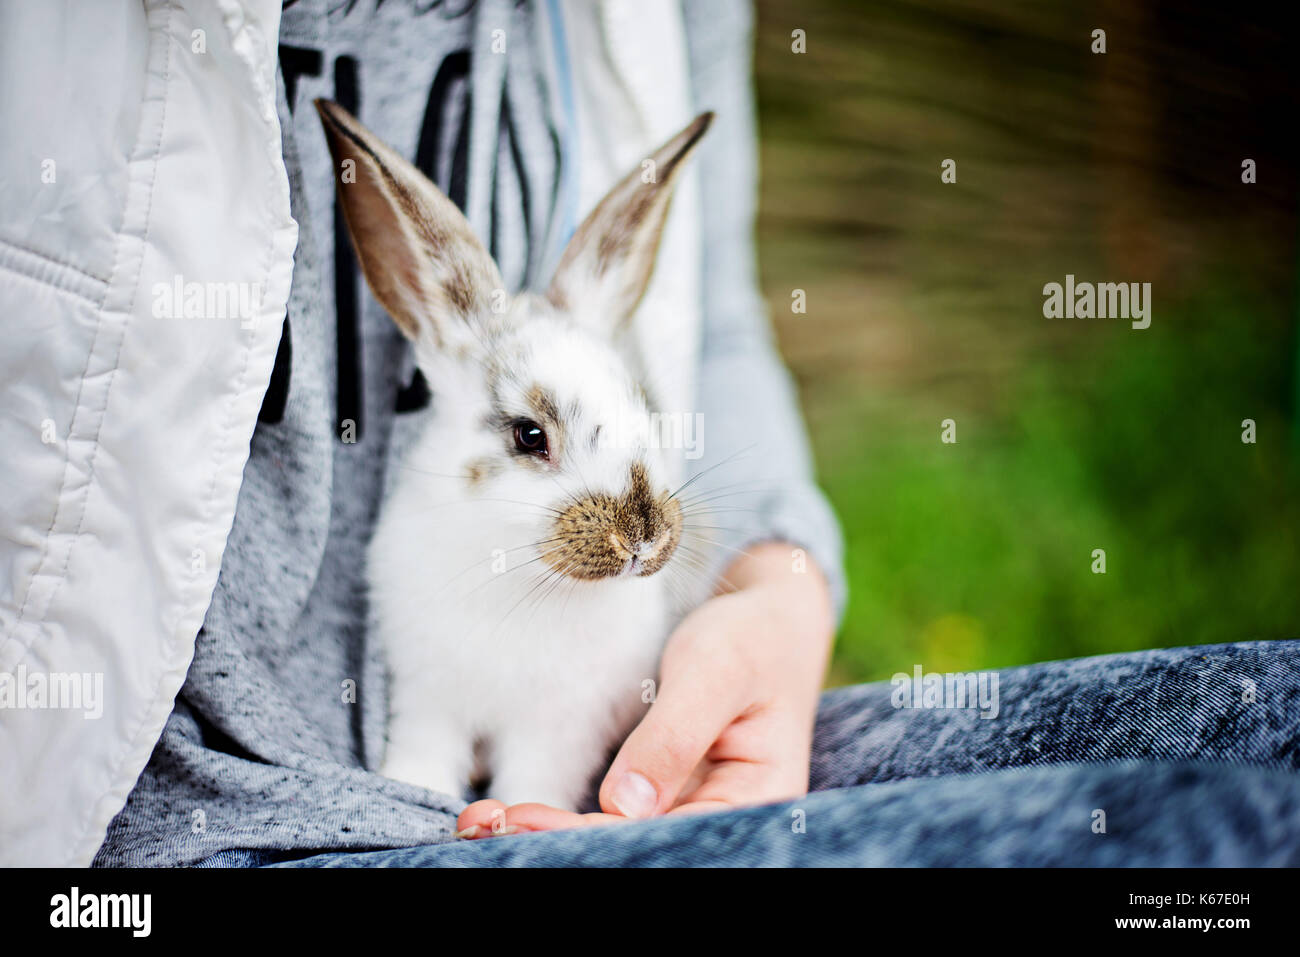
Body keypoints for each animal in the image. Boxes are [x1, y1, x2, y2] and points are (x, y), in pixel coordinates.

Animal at [315, 100, 713, 810]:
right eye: (530, 436)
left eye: (644, 404)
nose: (642, 537)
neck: (516, 573)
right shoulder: (427, 697)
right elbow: (426, 754)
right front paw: (414, 784)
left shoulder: (560, 727)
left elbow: (535, 780)